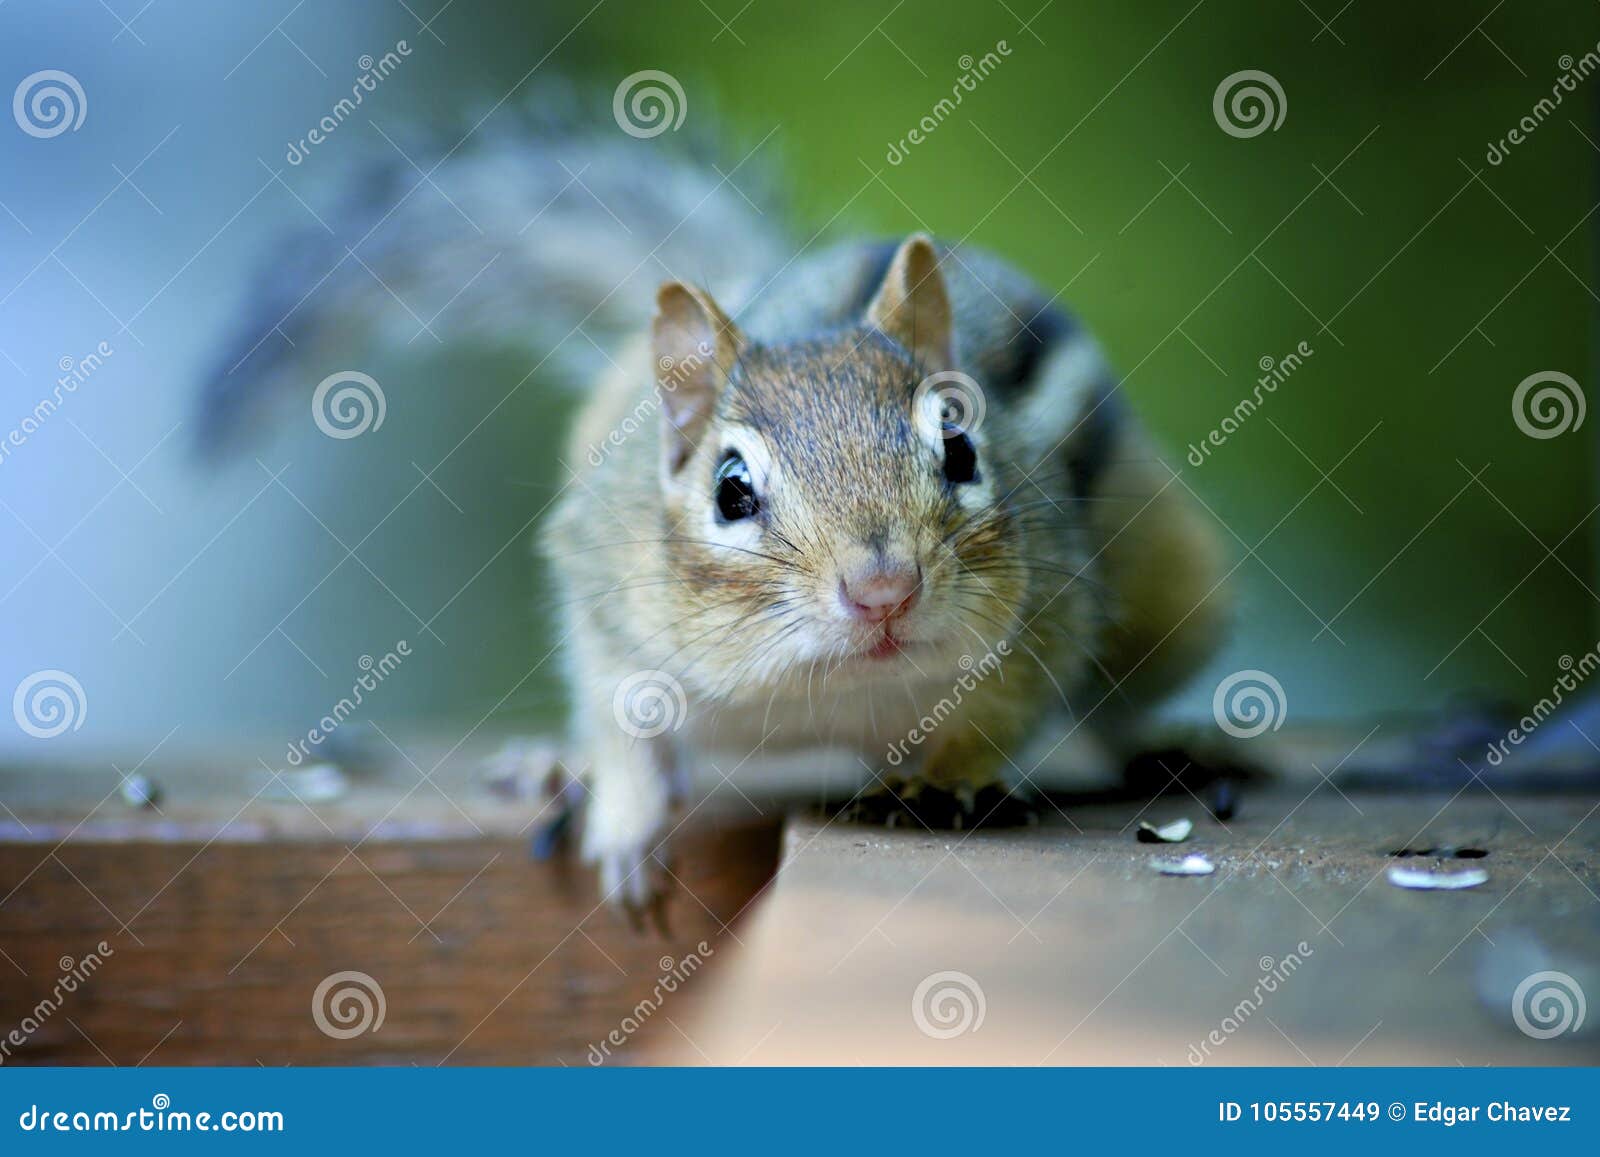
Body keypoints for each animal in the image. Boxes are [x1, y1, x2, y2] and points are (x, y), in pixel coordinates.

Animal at [194, 99, 1230, 924]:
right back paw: (555, 764)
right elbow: (619, 715)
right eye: (731, 490)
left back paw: (1174, 748)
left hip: (1177, 601)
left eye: (963, 448)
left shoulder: (1050, 607)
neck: (827, 695)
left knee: (1117, 705)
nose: (884, 590)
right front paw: (621, 816)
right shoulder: (607, 597)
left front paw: (947, 778)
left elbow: (1002, 712)